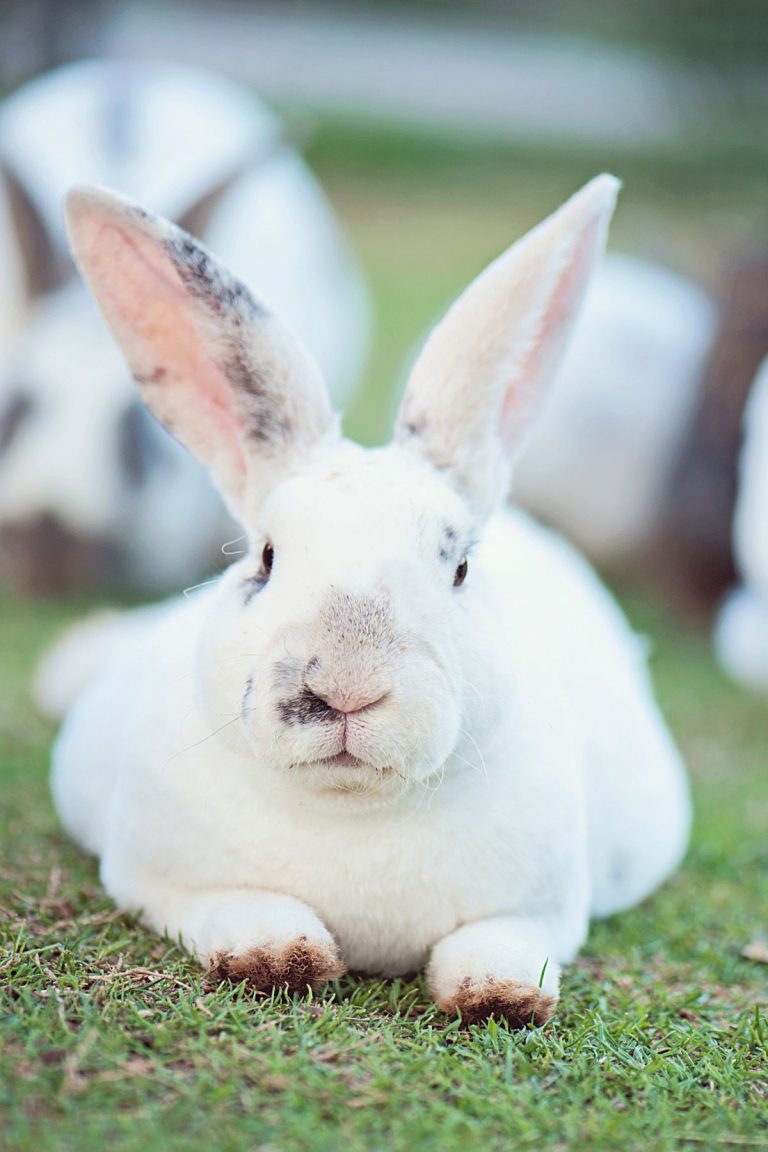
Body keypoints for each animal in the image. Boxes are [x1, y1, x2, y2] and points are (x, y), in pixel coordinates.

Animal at [48, 174, 690, 1028]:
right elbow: (236, 908)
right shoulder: (154, 879)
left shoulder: (545, 909)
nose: (346, 687)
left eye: (460, 568)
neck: (352, 809)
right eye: (266, 558)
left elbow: (500, 941)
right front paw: (279, 958)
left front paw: (501, 996)